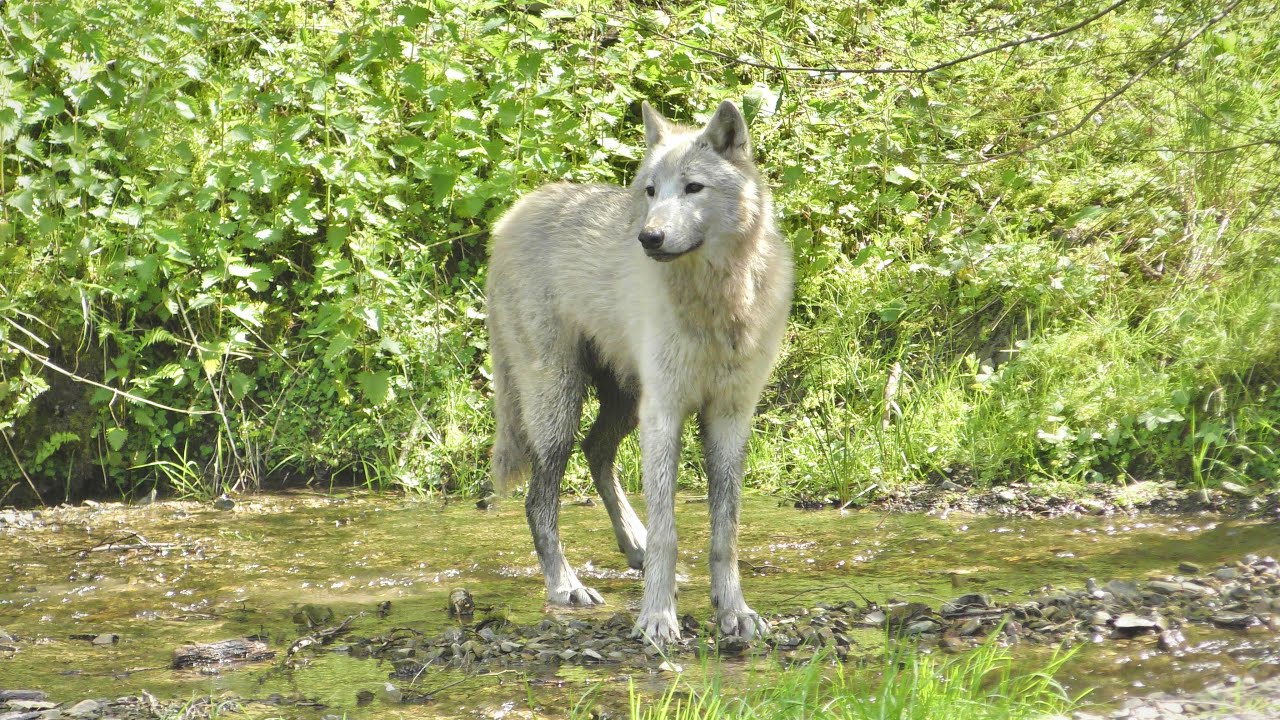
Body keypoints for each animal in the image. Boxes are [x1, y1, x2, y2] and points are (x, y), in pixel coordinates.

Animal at [485, 100, 793, 644]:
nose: (648, 236)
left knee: (596, 451)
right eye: (651, 191)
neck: (715, 304)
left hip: (623, 405)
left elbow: (725, 531)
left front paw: (734, 611)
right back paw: (566, 586)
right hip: (560, 406)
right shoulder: (664, 415)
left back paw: (634, 545)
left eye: (693, 188)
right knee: (539, 502)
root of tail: (511, 216)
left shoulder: (730, 418)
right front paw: (657, 618)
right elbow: (670, 529)